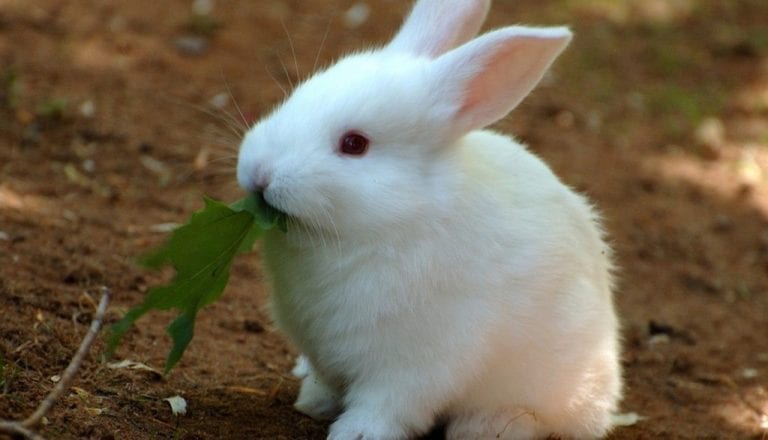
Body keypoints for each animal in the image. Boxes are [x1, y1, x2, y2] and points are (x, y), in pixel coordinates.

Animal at [236, 0, 622, 438]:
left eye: (354, 144)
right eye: (298, 96)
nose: (259, 172)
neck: (395, 219)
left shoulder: (417, 364)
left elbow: (385, 406)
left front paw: (356, 433)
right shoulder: (320, 346)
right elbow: (328, 381)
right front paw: (313, 403)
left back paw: (486, 427)